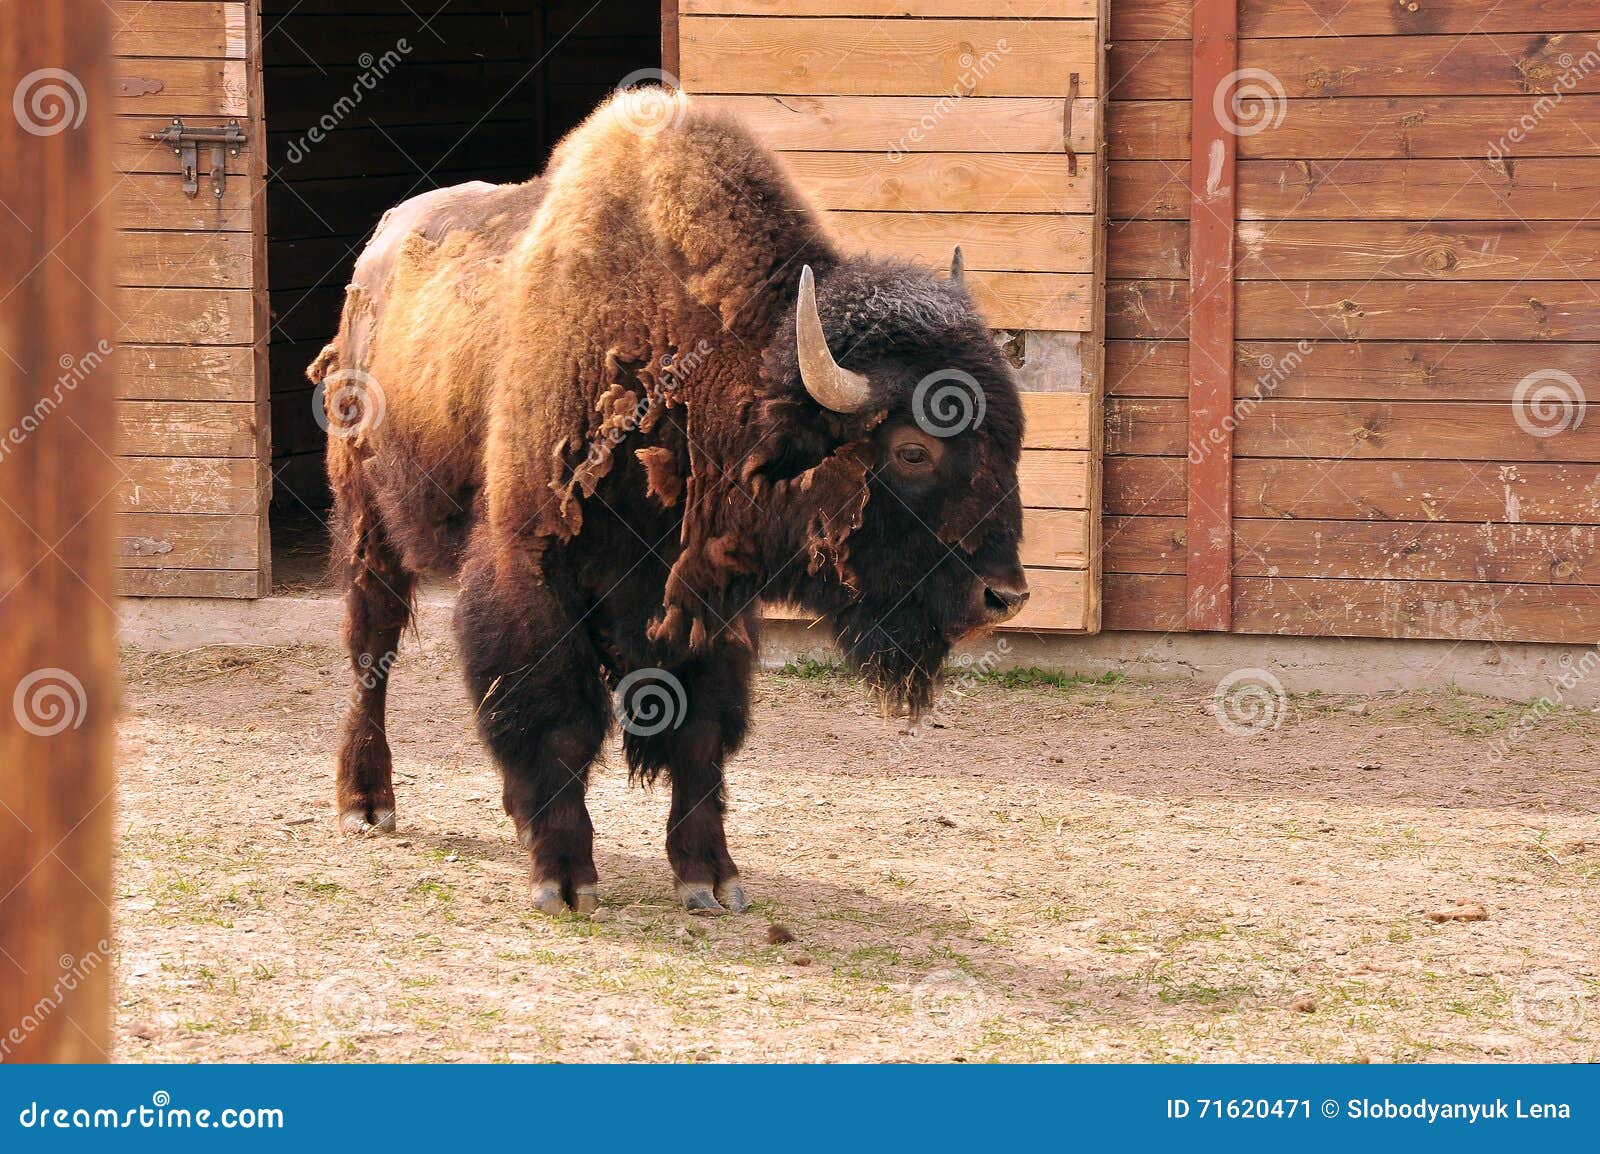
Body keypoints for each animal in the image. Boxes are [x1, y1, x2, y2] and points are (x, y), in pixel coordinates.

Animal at [309, 89, 1028, 915]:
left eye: (1014, 439)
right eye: (913, 449)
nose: (1003, 596)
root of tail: (376, 257)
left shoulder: (706, 594)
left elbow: (701, 733)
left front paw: (710, 879)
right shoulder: (533, 569)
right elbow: (557, 721)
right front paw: (564, 880)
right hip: (369, 524)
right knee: (372, 651)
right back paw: (366, 806)